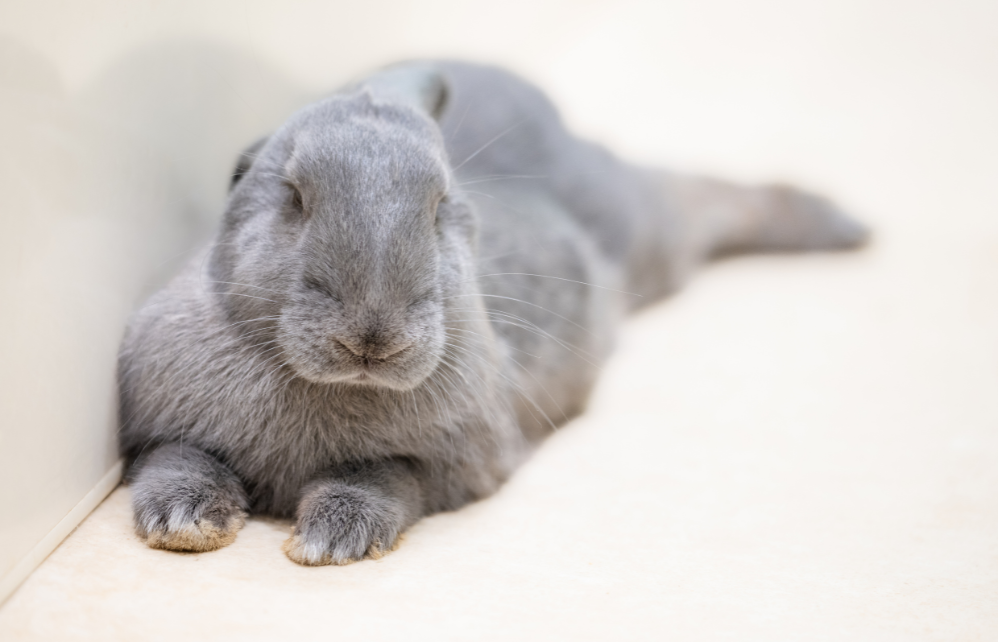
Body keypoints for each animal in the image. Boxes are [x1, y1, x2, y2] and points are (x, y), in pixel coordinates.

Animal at [118, 60, 868, 566]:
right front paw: (185, 524)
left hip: (646, 228)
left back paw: (842, 225)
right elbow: (176, 458)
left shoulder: (454, 464)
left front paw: (331, 541)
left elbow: (385, 476)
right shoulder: (158, 430)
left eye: (441, 203)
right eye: (293, 197)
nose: (373, 337)